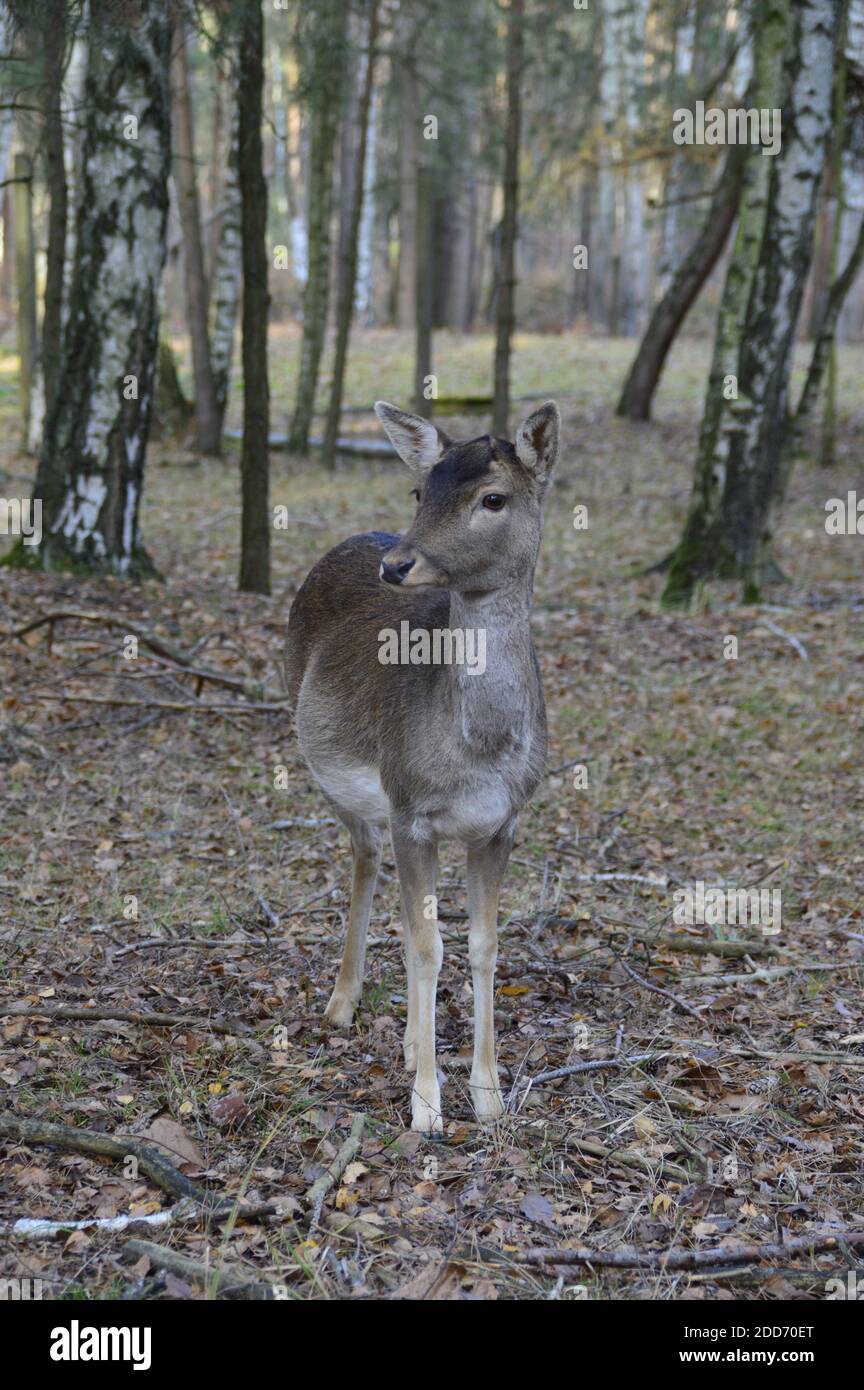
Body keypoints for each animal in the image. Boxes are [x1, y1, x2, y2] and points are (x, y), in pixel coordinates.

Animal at [285, 400, 560, 1133]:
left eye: (492, 498)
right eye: (419, 491)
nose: (397, 564)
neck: (479, 751)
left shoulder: (502, 823)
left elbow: (482, 945)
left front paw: (488, 1096)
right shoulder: (413, 810)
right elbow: (426, 946)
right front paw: (428, 1108)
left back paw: (410, 1040)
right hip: (336, 772)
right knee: (364, 856)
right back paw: (342, 1003)